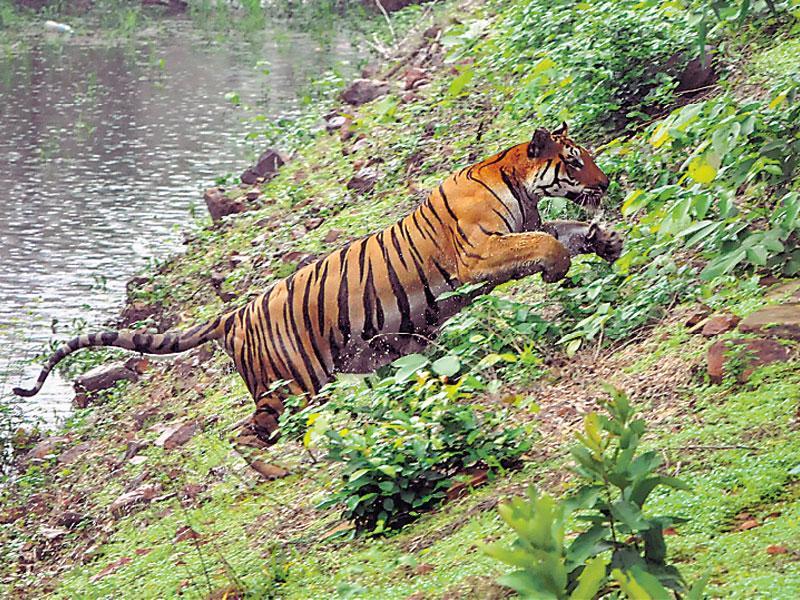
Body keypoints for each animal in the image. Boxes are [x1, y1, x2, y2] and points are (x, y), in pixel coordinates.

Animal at [15, 123, 621, 451]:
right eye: (575, 161)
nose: (607, 181)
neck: (515, 181)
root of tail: (231, 315)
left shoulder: (529, 225)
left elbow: (564, 230)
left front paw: (606, 240)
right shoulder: (478, 252)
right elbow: (543, 245)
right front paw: (559, 268)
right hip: (292, 385)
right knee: (252, 435)